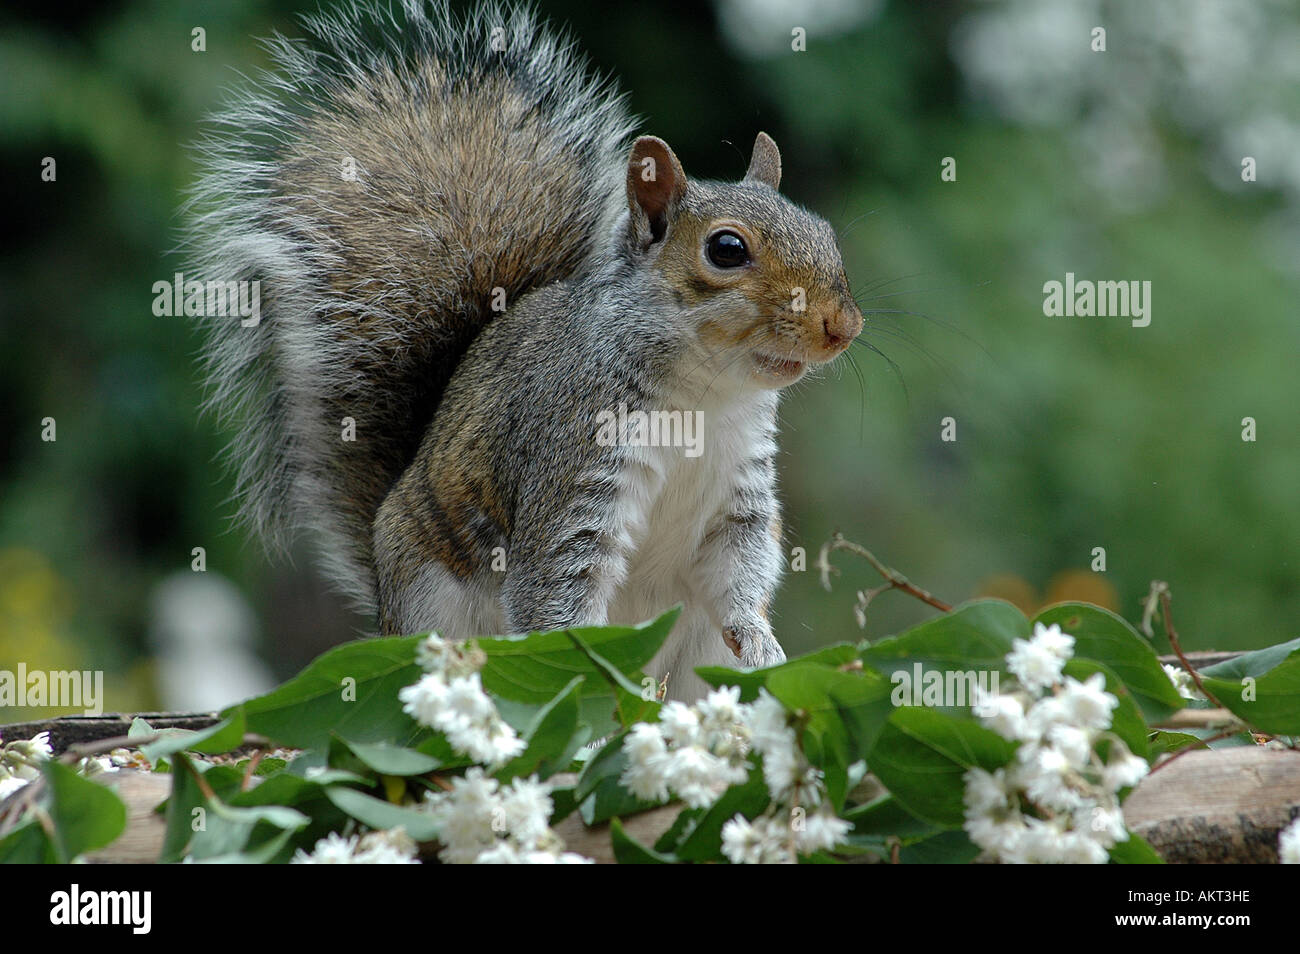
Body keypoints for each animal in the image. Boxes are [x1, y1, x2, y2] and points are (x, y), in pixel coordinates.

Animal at [185, 0, 863, 701]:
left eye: (824, 233)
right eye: (727, 249)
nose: (844, 327)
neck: (707, 397)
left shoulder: (739, 502)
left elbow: (739, 579)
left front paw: (763, 645)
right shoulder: (572, 466)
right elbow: (557, 595)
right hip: (429, 602)